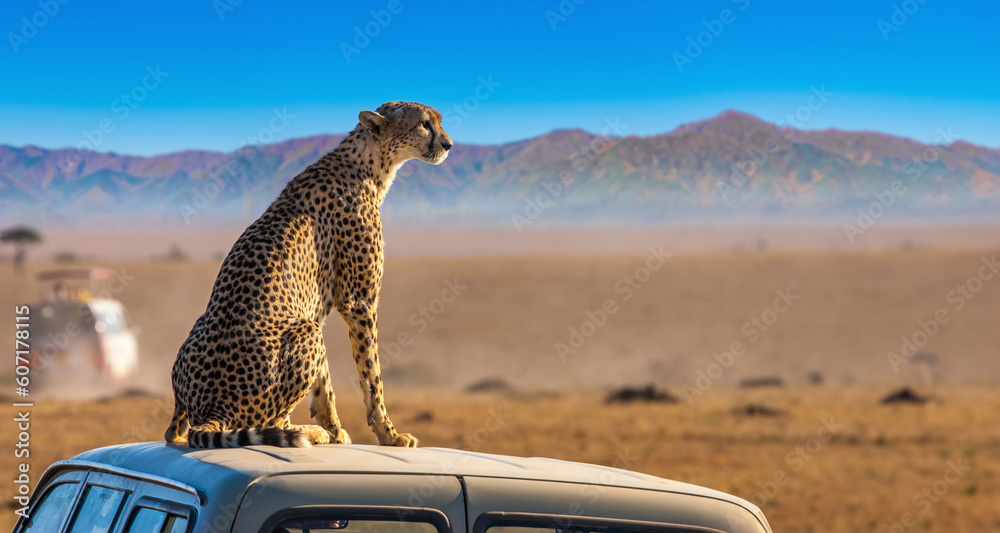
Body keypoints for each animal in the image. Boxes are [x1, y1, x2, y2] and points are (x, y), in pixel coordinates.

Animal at [164, 101, 452, 448]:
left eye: (439, 121)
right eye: (424, 124)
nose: (448, 145)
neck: (368, 163)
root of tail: (212, 409)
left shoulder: (318, 308)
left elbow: (325, 380)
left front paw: (337, 430)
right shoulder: (359, 302)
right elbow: (372, 374)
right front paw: (389, 435)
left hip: (205, 330)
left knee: (173, 431)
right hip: (306, 332)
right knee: (269, 420)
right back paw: (307, 432)